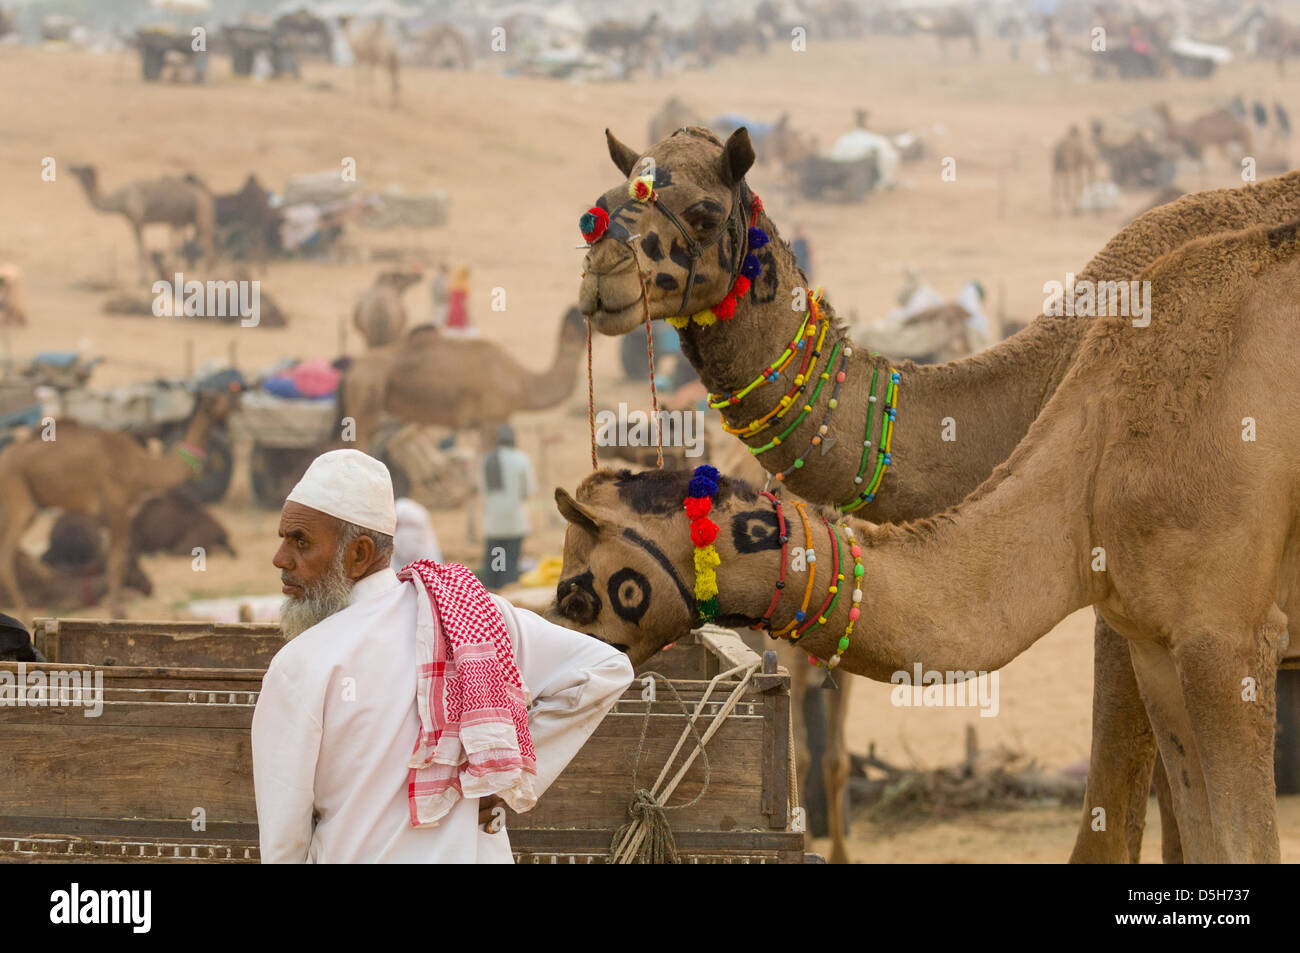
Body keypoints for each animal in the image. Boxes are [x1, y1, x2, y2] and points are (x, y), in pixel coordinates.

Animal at [0, 387, 238, 620]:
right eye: (219, 398)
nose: (238, 393)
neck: (142, 467)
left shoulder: (112, 515)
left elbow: (117, 557)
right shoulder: (117, 505)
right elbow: (117, 560)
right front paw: (117, 613)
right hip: (18, 496)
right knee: (7, 557)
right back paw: (25, 616)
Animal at [69, 165, 216, 281]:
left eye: (81, 170)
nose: (70, 168)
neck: (121, 200)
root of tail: (206, 194)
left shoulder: (138, 222)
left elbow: (141, 249)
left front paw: (143, 279)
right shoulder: (135, 224)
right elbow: (142, 248)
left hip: (201, 216)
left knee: (206, 242)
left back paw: (206, 272)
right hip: (188, 219)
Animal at [339, 305, 587, 451]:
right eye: (582, 321)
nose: (578, 311)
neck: (524, 383)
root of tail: (352, 370)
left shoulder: (483, 425)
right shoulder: (492, 420)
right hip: (363, 404)